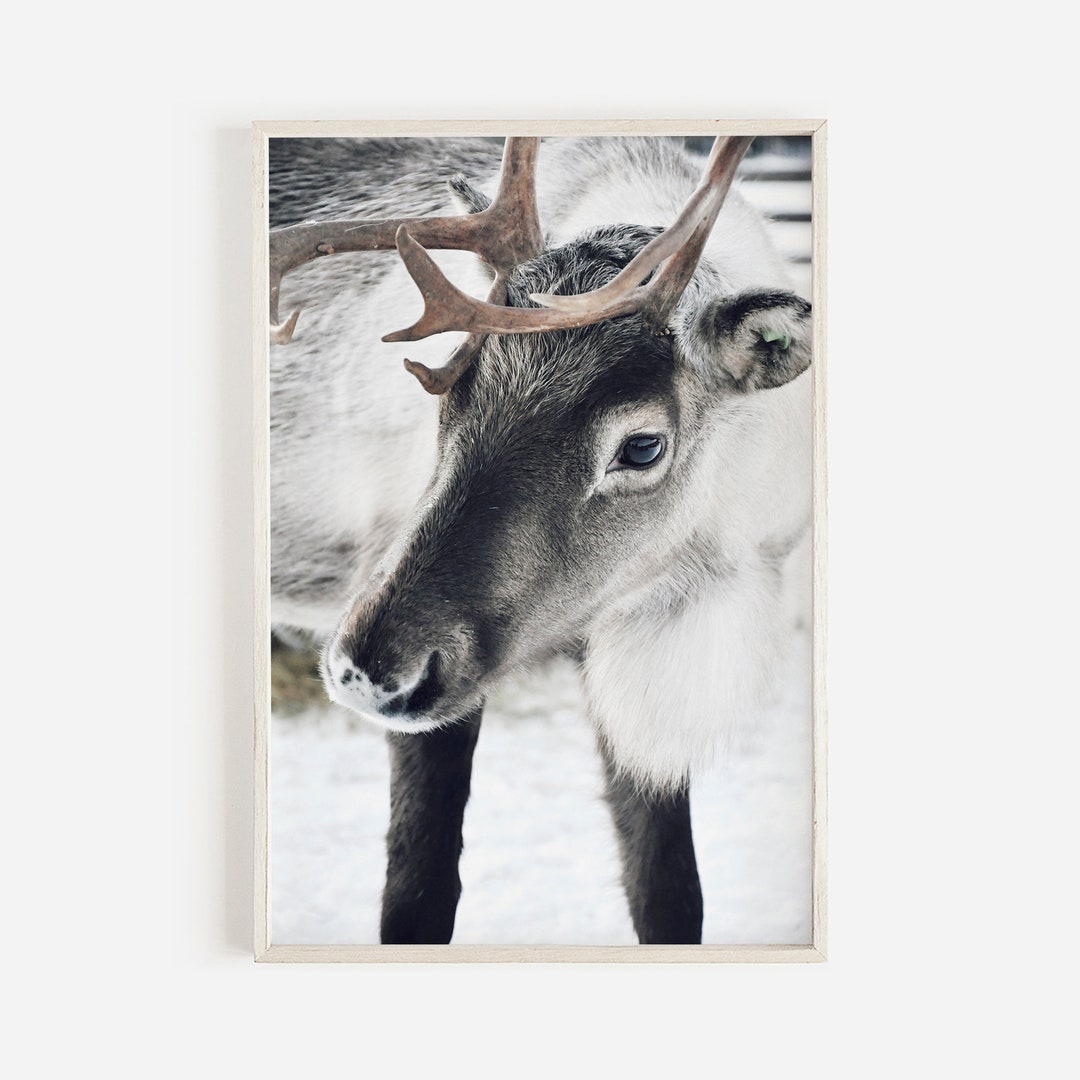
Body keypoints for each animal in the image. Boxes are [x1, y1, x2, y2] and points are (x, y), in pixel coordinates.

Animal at [267, 134, 813, 945]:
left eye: (642, 446)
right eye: (448, 395)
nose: (367, 673)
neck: (716, 566)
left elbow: (668, 893)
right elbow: (417, 899)